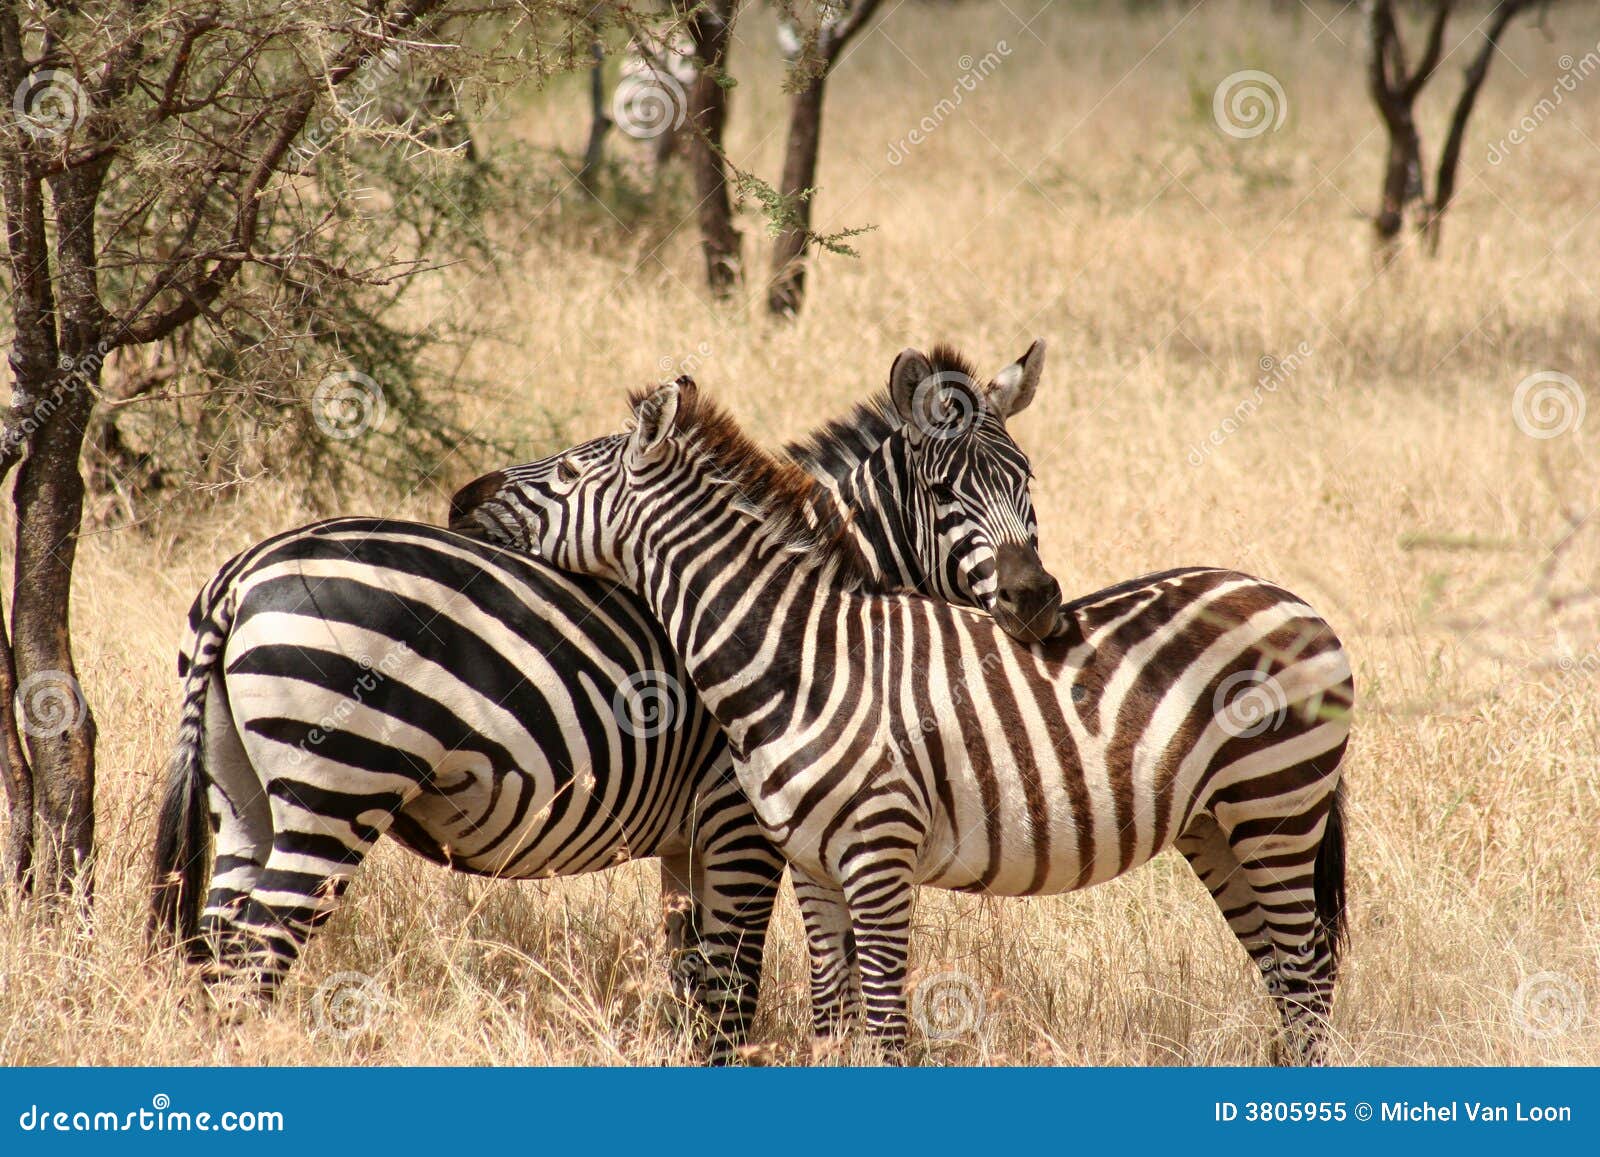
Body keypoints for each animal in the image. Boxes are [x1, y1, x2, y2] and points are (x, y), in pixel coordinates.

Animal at [150, 342, 1057, 1058]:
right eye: (942, 496)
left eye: (1030, 483)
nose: (1038, 599)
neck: (799, 613)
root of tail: (242, 574)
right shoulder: (739, 821)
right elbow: (730, 992)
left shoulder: (688, 840)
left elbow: (691, 981)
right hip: (337, 785)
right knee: (255, 962)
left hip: (245, 797)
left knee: (220, 957)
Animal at [449, 376, 1355, 1063]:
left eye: (570, 469)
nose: (461, 499)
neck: (801, 658)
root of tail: (1290, 597)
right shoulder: (811, 865)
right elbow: (830, 1018)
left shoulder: (875, 857)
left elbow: (879, 1028)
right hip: (1217, 825)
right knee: (1285, 972)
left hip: (1276, 806)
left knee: (1307, 971)